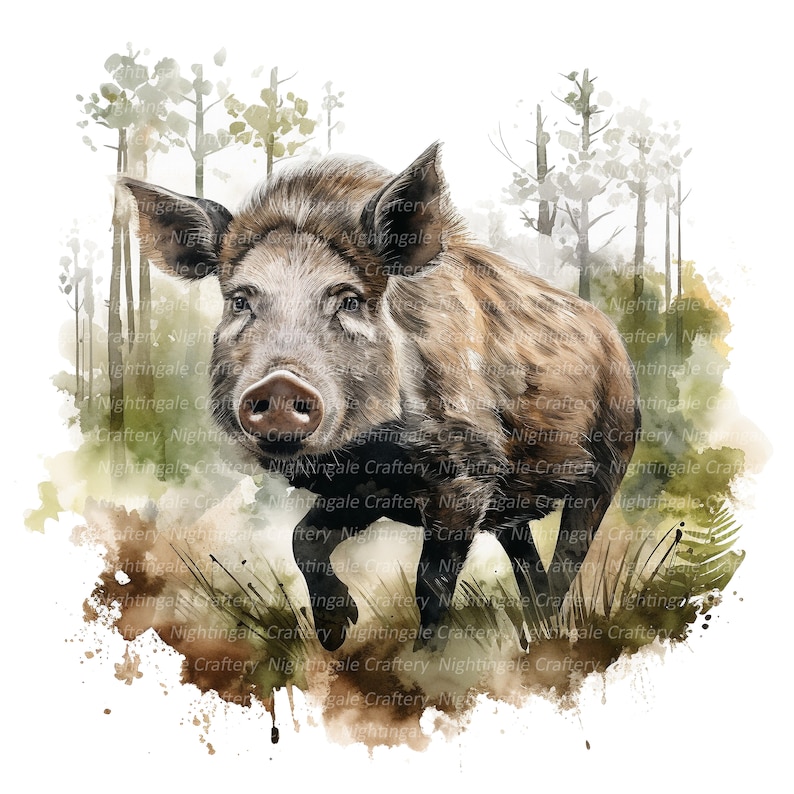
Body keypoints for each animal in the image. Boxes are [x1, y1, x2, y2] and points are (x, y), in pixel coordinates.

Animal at [120, 143, 640, 652]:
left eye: (349, 300)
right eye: (240, 301)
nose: (281, 384)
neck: (373, 451)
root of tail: (613, 335)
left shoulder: (465, 476)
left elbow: (430, 584)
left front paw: (422, 662)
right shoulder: (364, 490)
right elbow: (303, 539)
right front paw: (334, 637)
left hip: (608, 462)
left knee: (569, 555)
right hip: (513, 507)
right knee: (529, 564)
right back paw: (536, 638)